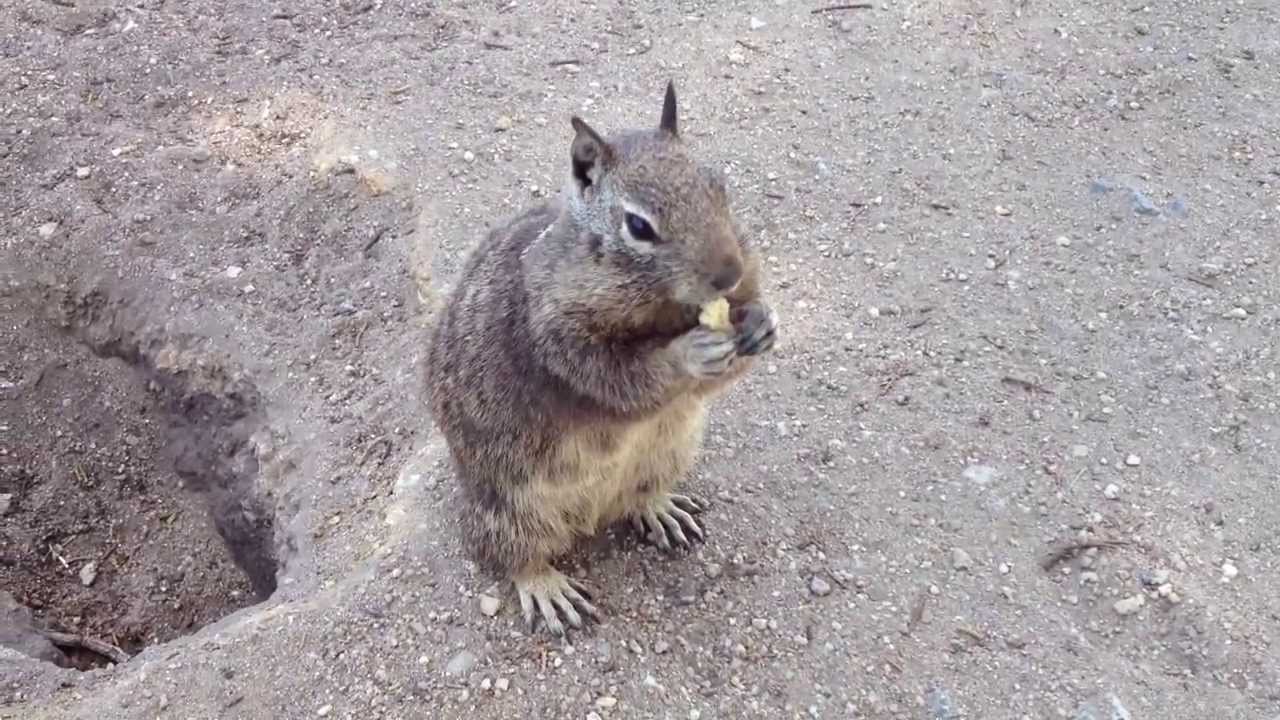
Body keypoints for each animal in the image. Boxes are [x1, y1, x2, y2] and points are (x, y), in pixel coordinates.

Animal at [424, 81, 778, 636]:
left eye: (718, 186)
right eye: (638, 226)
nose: (730, 275)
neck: (662, 312)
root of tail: (595, 511)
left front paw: (762, 321)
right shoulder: (558, 338)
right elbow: (617, 377)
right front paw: (687, 355)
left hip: (670, 451)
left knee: (639, 496)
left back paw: (659, 508)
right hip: (510, 506)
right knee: (509, 554)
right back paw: (546, 587)